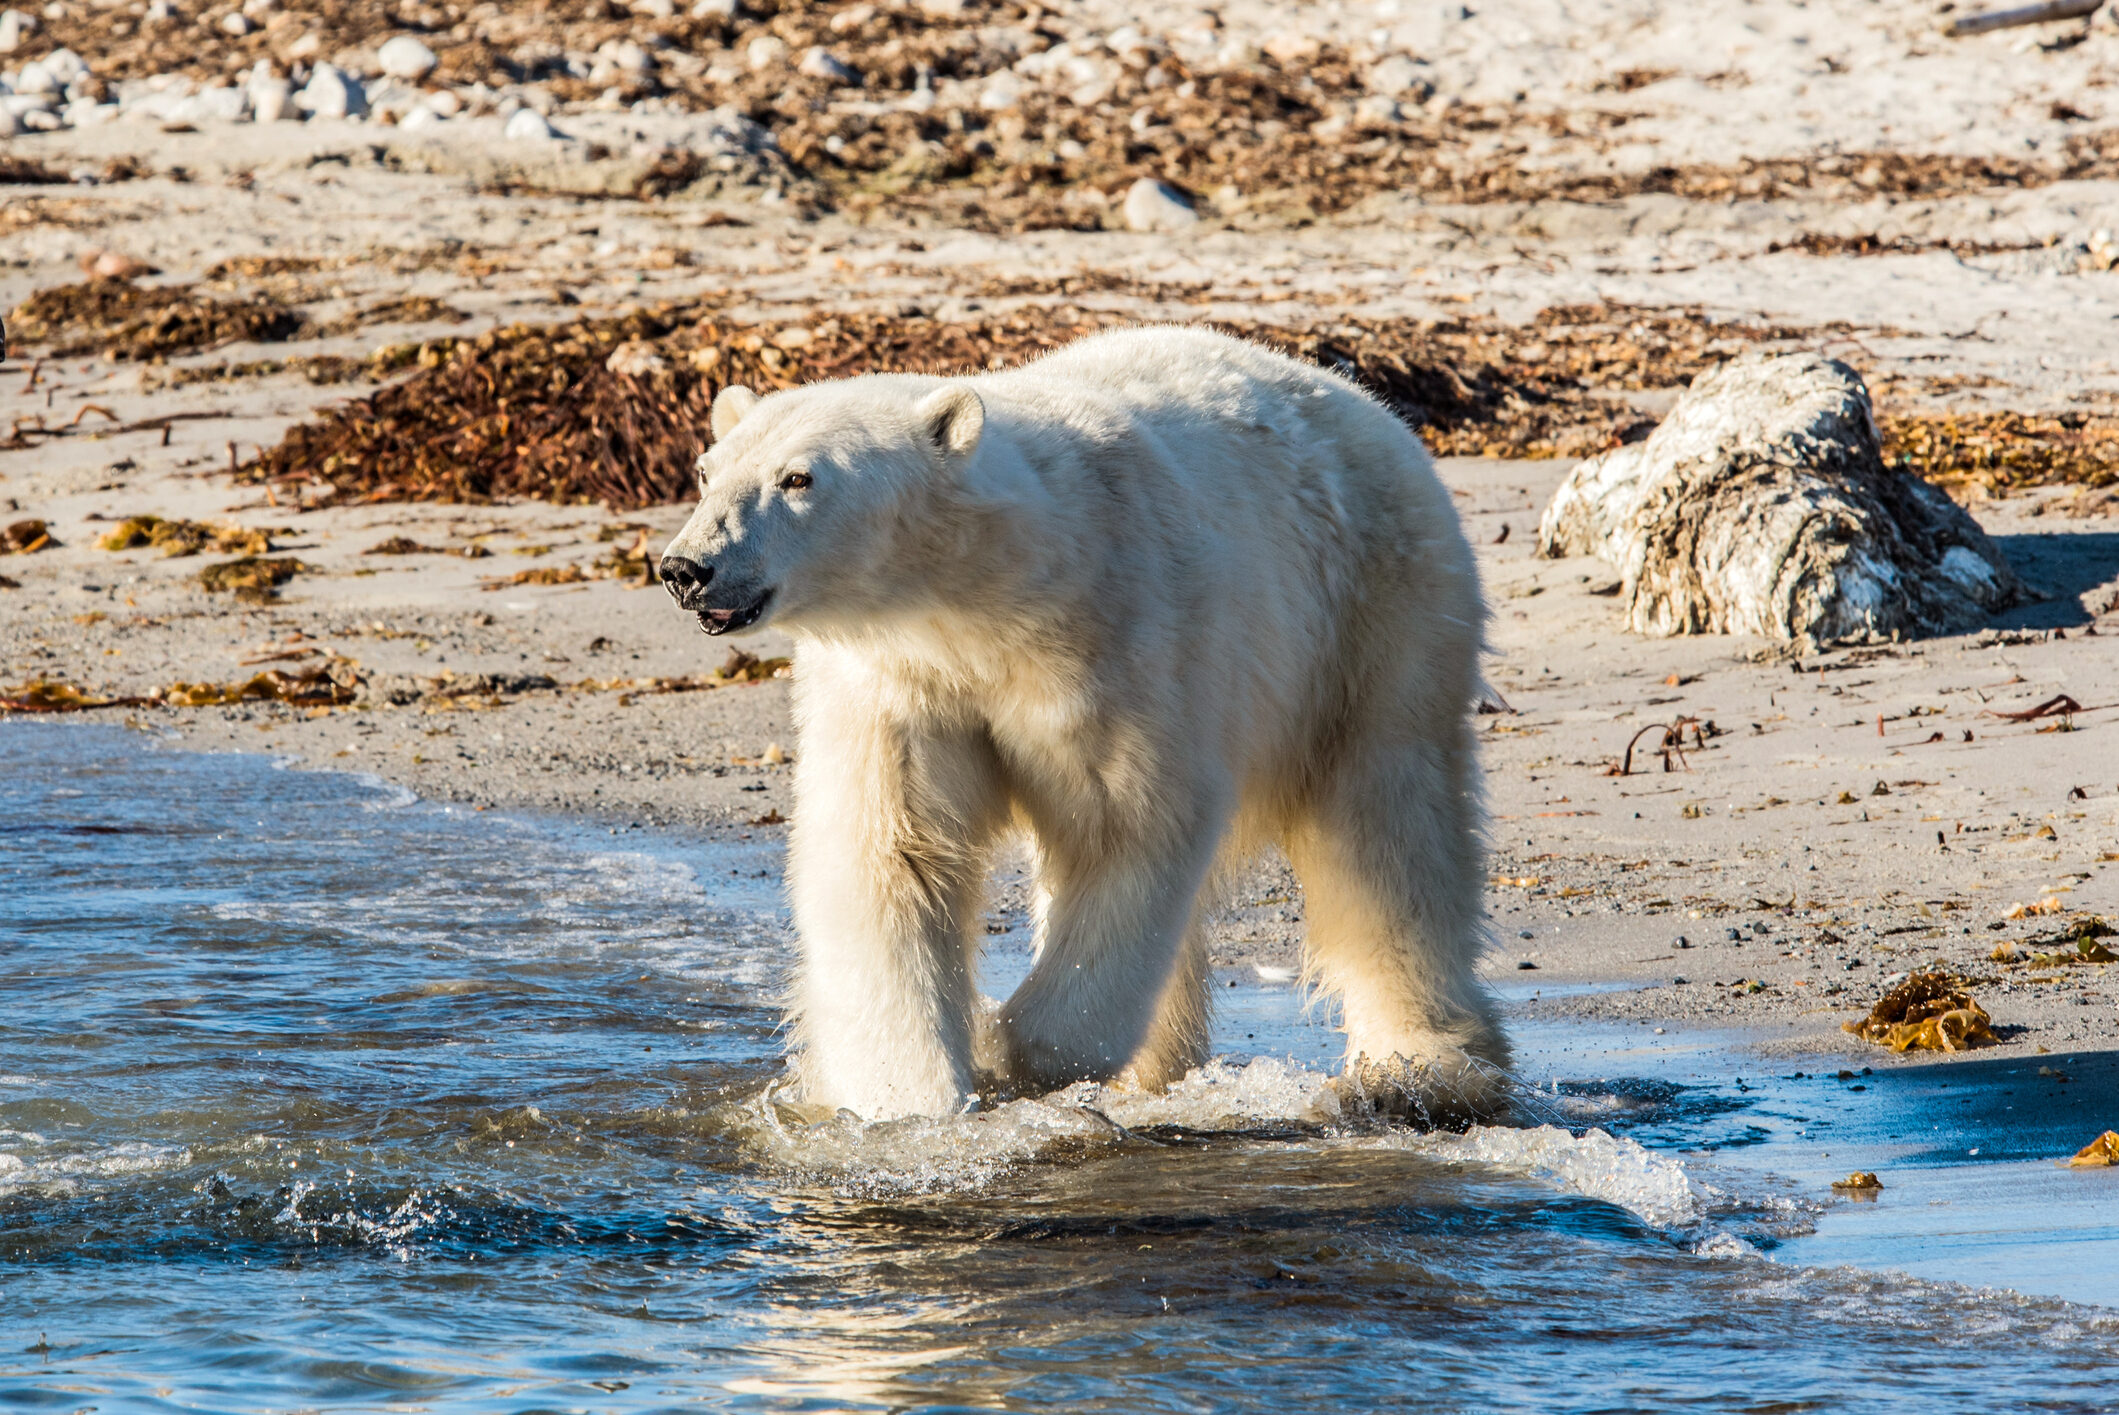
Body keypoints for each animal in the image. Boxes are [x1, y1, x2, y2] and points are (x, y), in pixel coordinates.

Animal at [658, 326, 1507, 1122]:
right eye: (706, 472)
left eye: (798, 478)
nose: (684, 568)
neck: (994, 595)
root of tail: (1368, 405)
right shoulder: (906, 682)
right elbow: (891, 854)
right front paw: (909, 1103)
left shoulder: (1121, 644)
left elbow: (1123, 829)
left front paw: (1008, 1055)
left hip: (1371, 617)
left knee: (1386, 832)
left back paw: (1424, 1070)